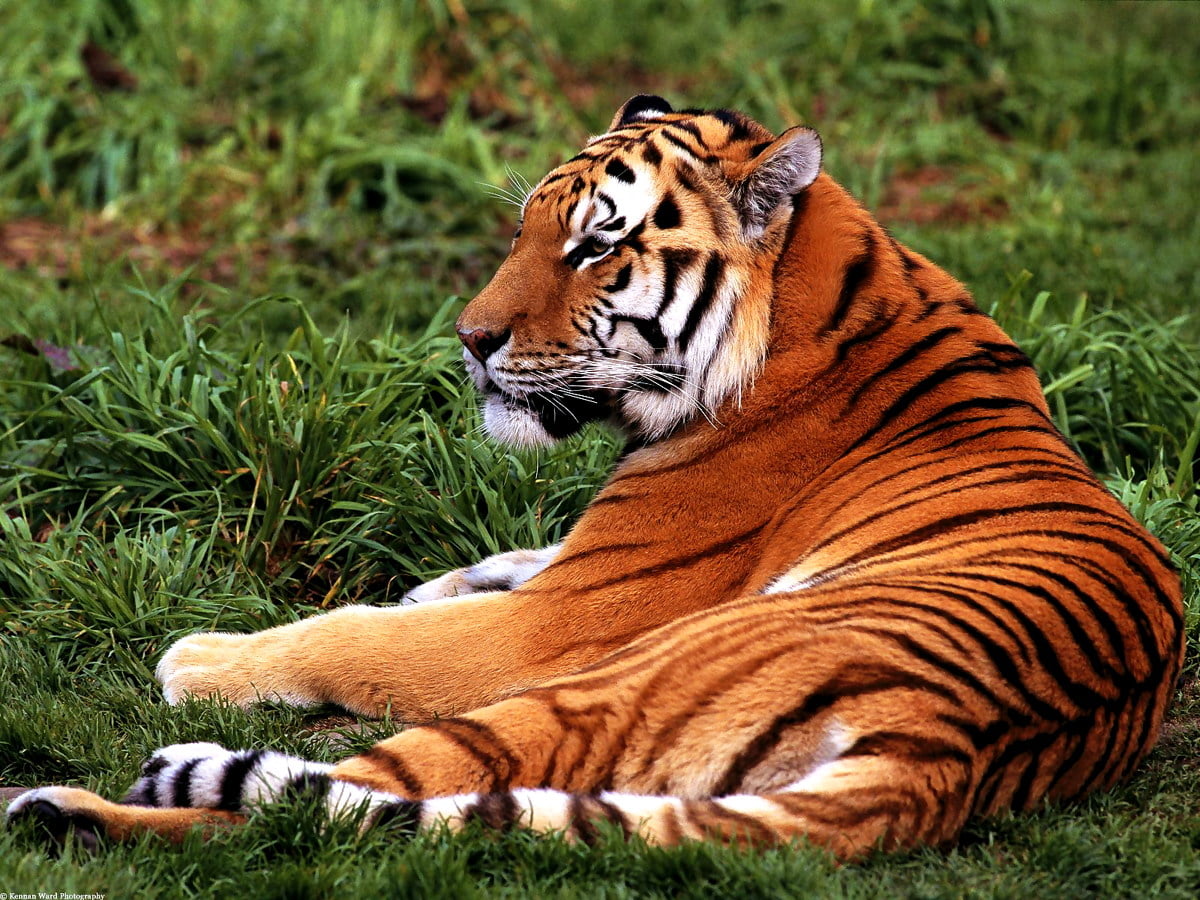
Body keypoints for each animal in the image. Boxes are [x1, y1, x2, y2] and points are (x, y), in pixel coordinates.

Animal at [6, 95, 1184, 860]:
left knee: (312, 813)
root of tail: (942, 751)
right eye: (526, 228)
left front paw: (204, 656)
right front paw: (445, 578)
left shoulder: (559, 625)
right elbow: (490, 567)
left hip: (595, 688)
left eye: (593, 248)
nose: (469, 340)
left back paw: (66, 808)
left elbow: (360, 636)